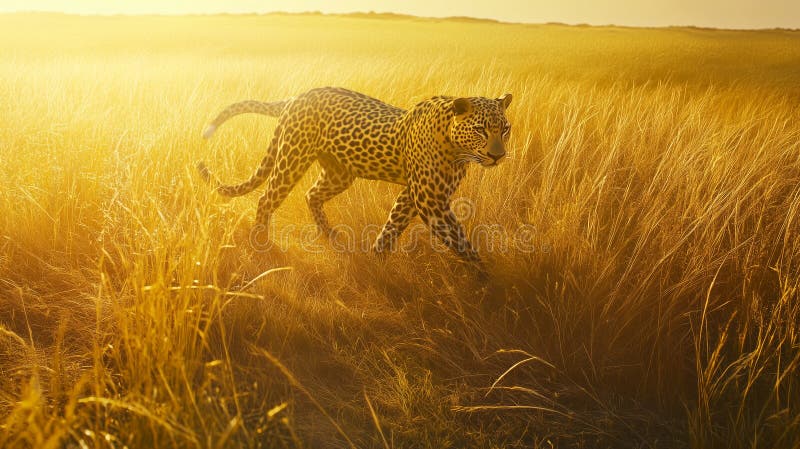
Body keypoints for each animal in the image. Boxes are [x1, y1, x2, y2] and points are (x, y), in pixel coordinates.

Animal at [197, 87, 512, 270]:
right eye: (482, 129)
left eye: (505, 128)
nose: (498, 155)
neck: (456, 147)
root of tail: (297, 96)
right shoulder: (430, 201)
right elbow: (460, 241)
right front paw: (487, 281)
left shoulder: (414, 195)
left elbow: (392, 226)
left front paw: (377, 260)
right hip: (292, 159)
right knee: (266, 198)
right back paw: (262, 243)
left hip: (340, 173)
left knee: (312, 194)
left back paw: (331, 237)